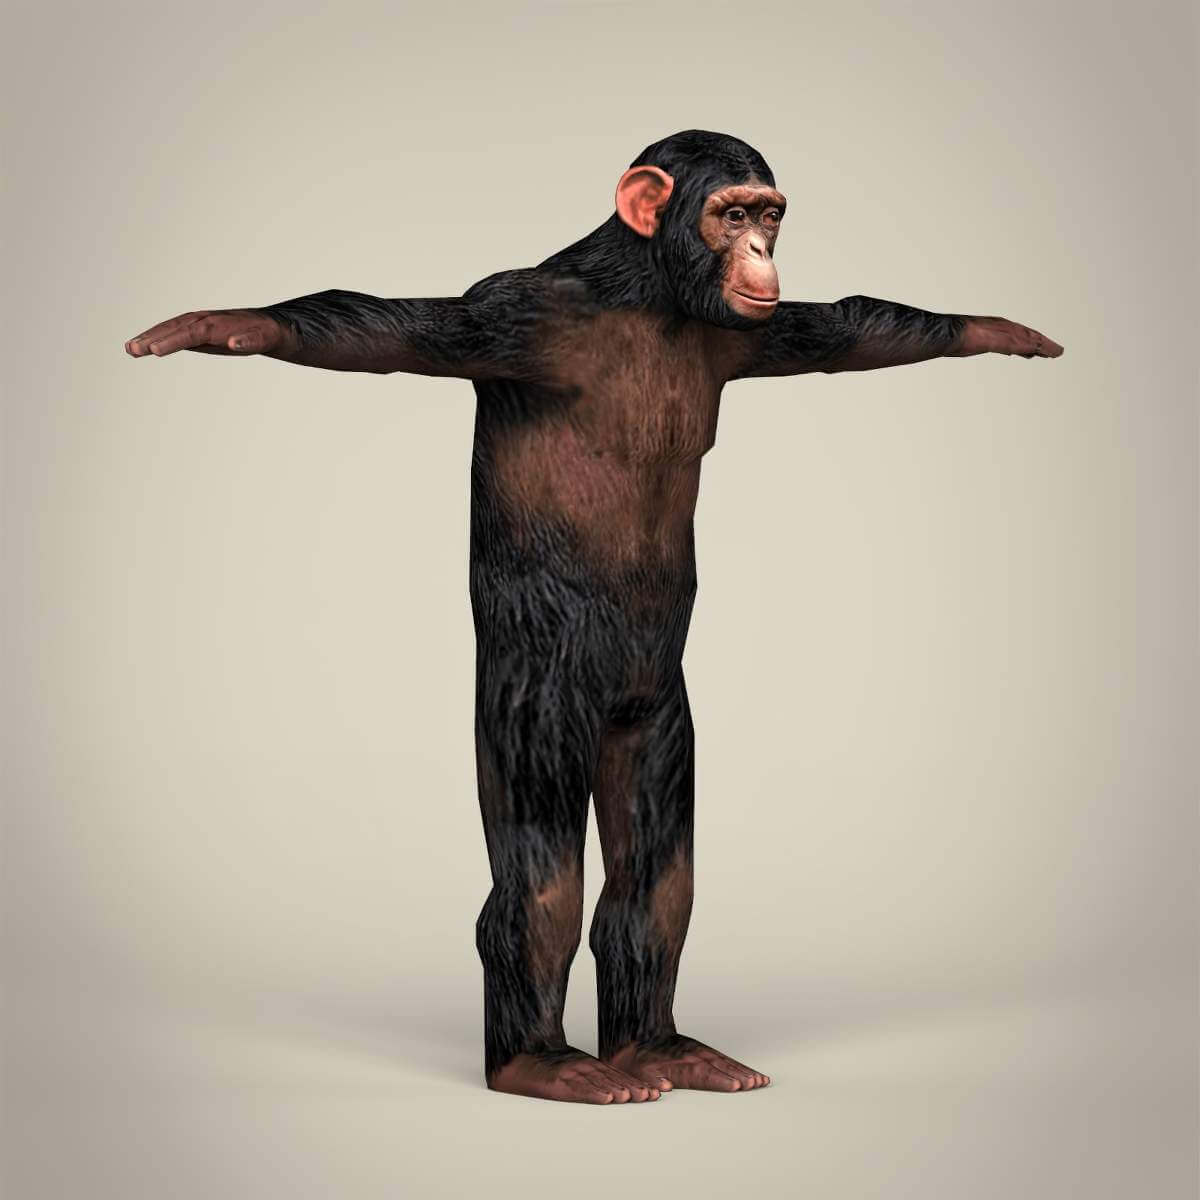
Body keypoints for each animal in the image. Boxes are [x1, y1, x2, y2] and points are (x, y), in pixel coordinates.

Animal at [125, 130, 1063, 1105]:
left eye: (769, 215)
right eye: (731, 212)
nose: (759, 248)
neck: (647, 295)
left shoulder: (751, 334)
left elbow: (844, 326)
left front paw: (994, 330)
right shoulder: (511, 316)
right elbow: (394, 324)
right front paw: (228, 323)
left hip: (652, 713)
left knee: (657, 873)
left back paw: (657, 1047)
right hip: (535, 703)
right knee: (540, 883)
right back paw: (539, 1062)